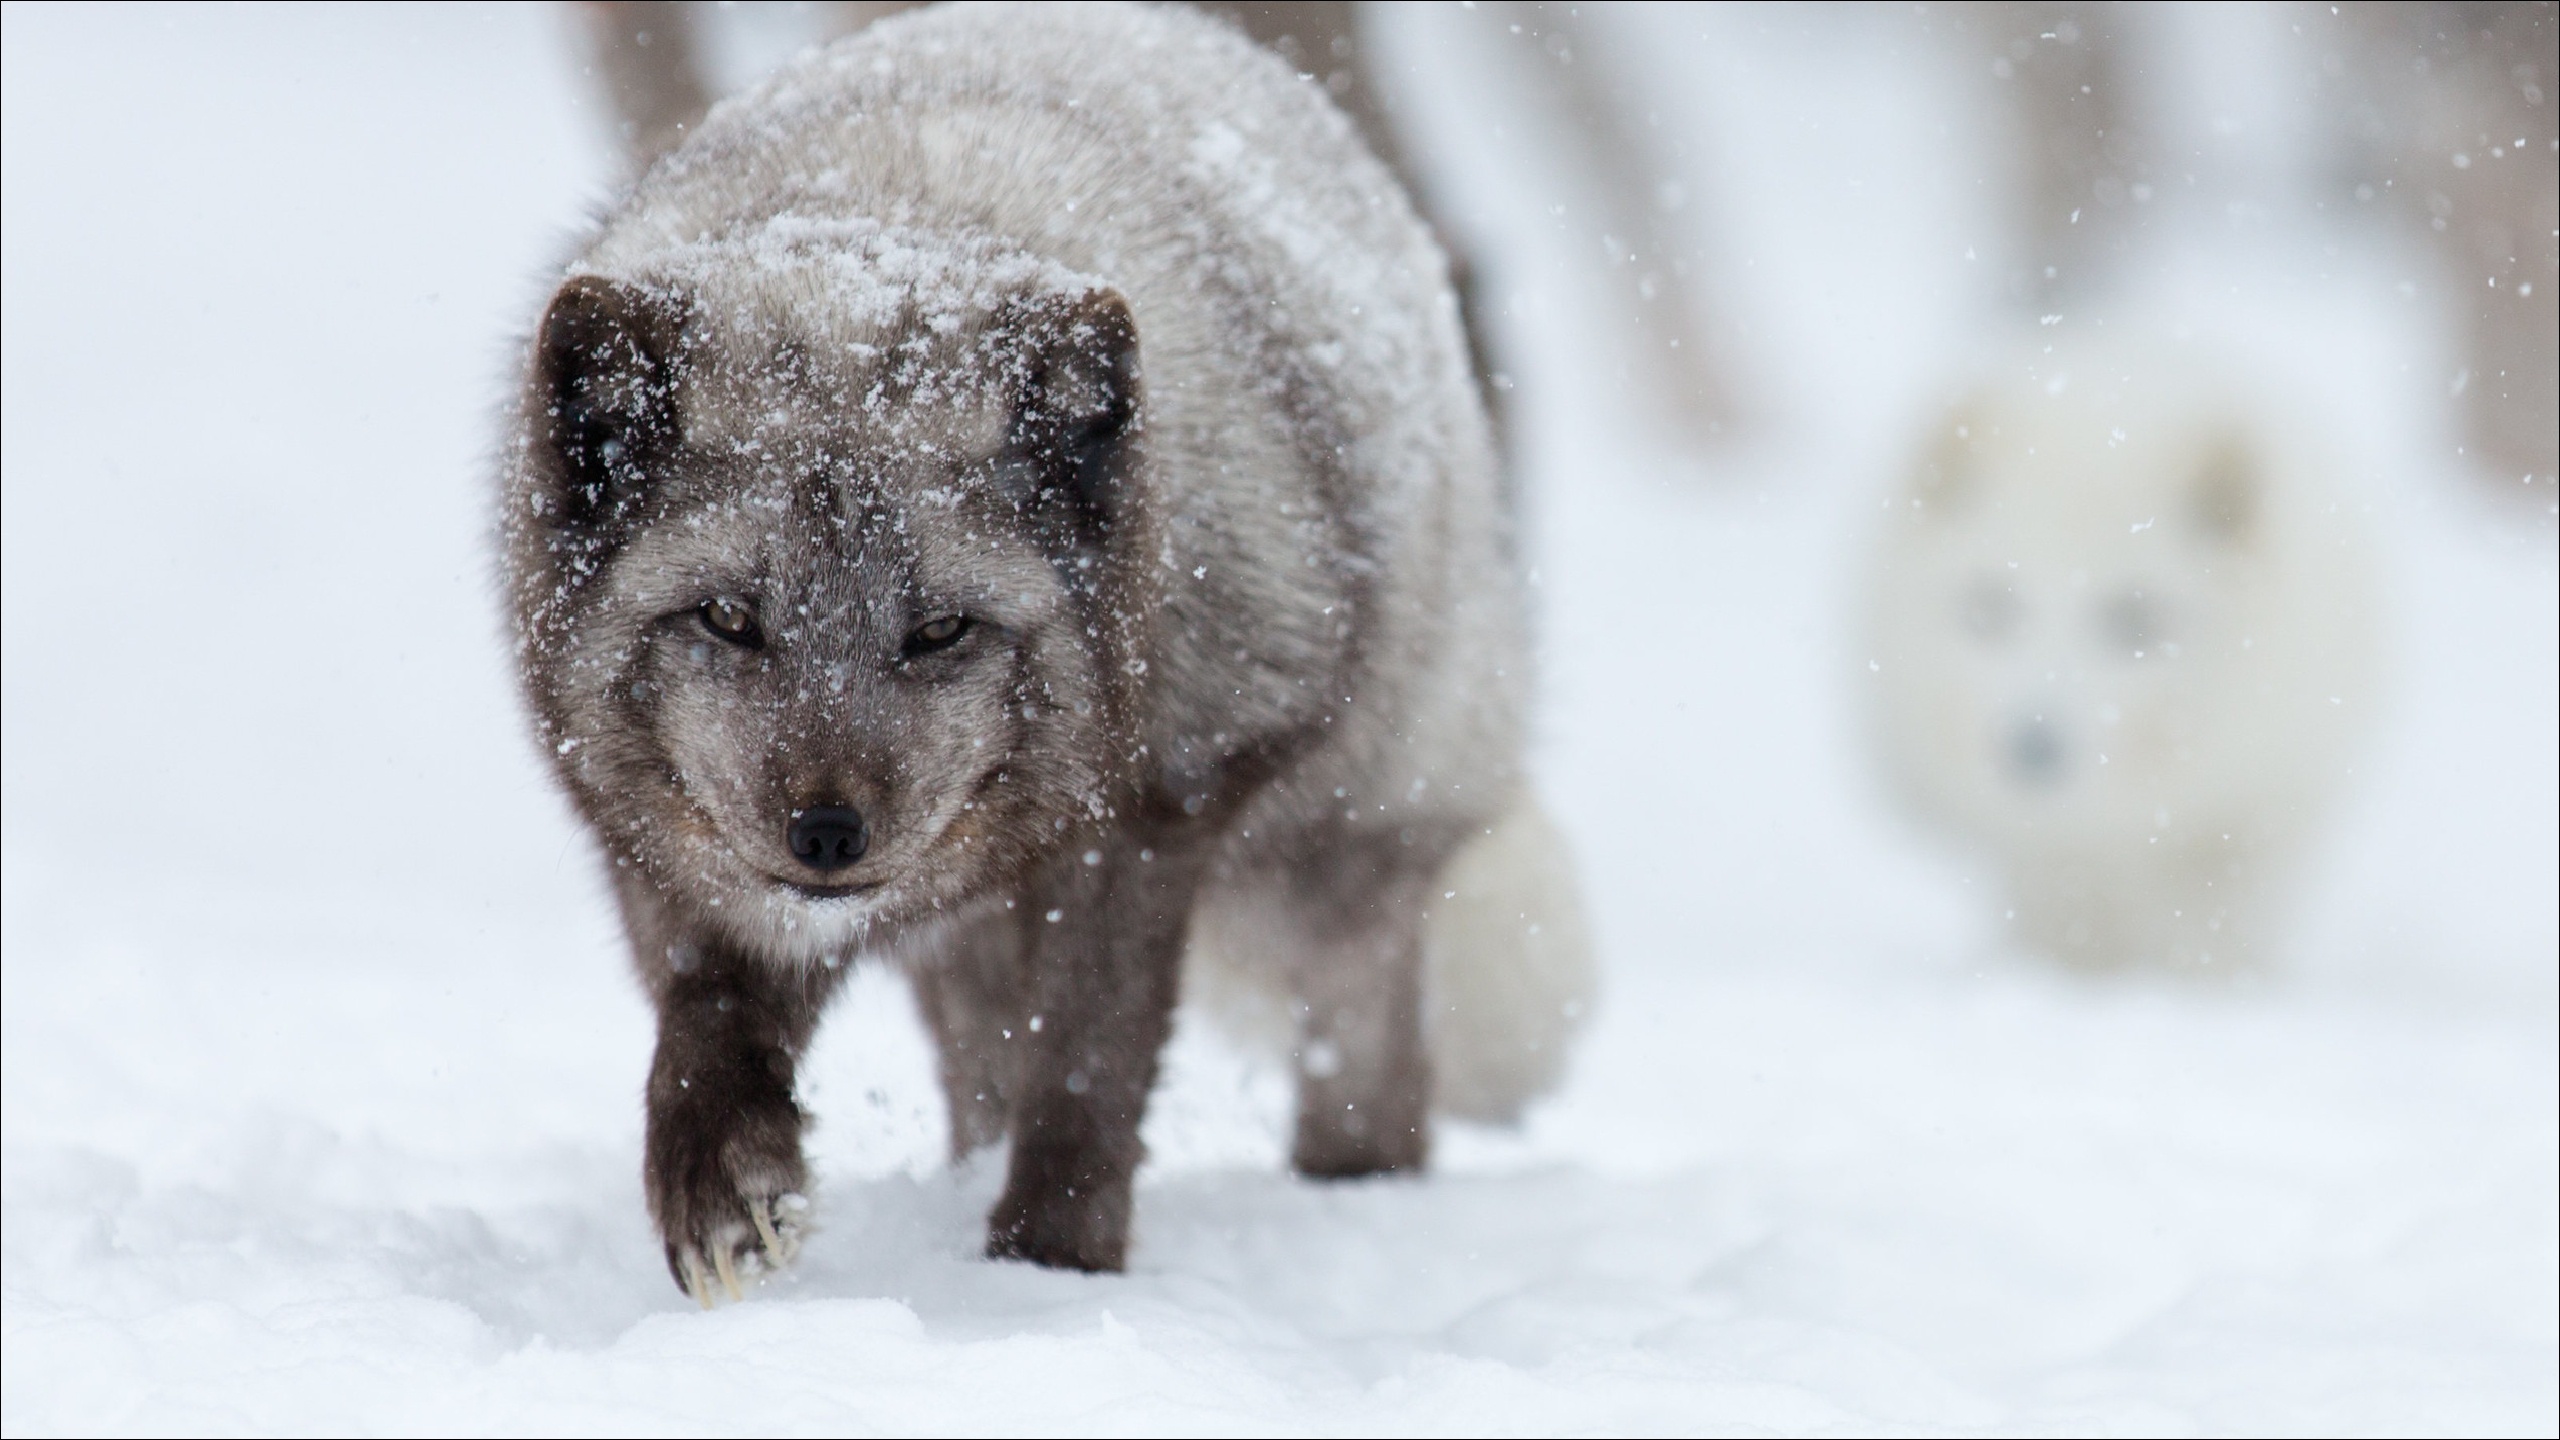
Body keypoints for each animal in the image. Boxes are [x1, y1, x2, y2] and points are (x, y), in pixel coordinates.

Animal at [499, 1, 1587, 1304]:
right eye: (725, 619)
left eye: (940, 630)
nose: (827, 836)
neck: (886, 212)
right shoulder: (667, 851)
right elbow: (706, 1017)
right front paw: (722, 1189)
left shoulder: (1156, 812)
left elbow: (1083, 1074)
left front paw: (1047, 1274)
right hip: (971, 945)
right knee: (979, 1068)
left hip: (1345, 844)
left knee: (1372, 1063)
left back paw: (1352, 1199)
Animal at [1862, 335, 2381, 971]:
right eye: (1993, 605)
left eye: (2134, 619)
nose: (2033, 747)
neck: (2109, 830)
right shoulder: (2039, 856)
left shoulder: (2249, 819)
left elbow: (2214, 931)